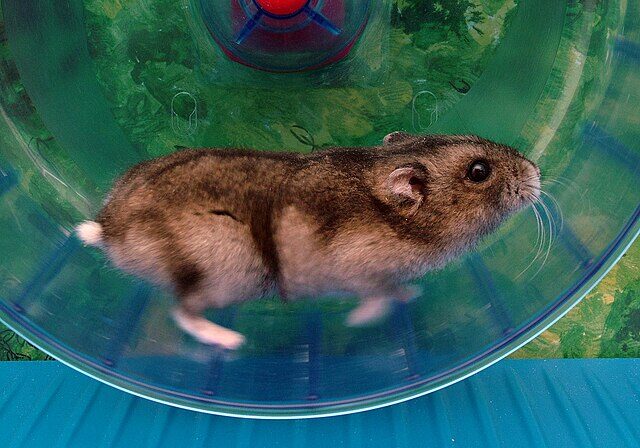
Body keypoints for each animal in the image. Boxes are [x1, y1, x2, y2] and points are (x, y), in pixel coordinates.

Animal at [76, 133, 540, 349]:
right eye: (479, 172)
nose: (537, 172)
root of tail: (107, 227)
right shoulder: (360, 271)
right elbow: (379, 296)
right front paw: (360, 320)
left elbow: (396, 289)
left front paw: (412, 293)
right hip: (225, 271)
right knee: (182, 311)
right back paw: (232, 340)